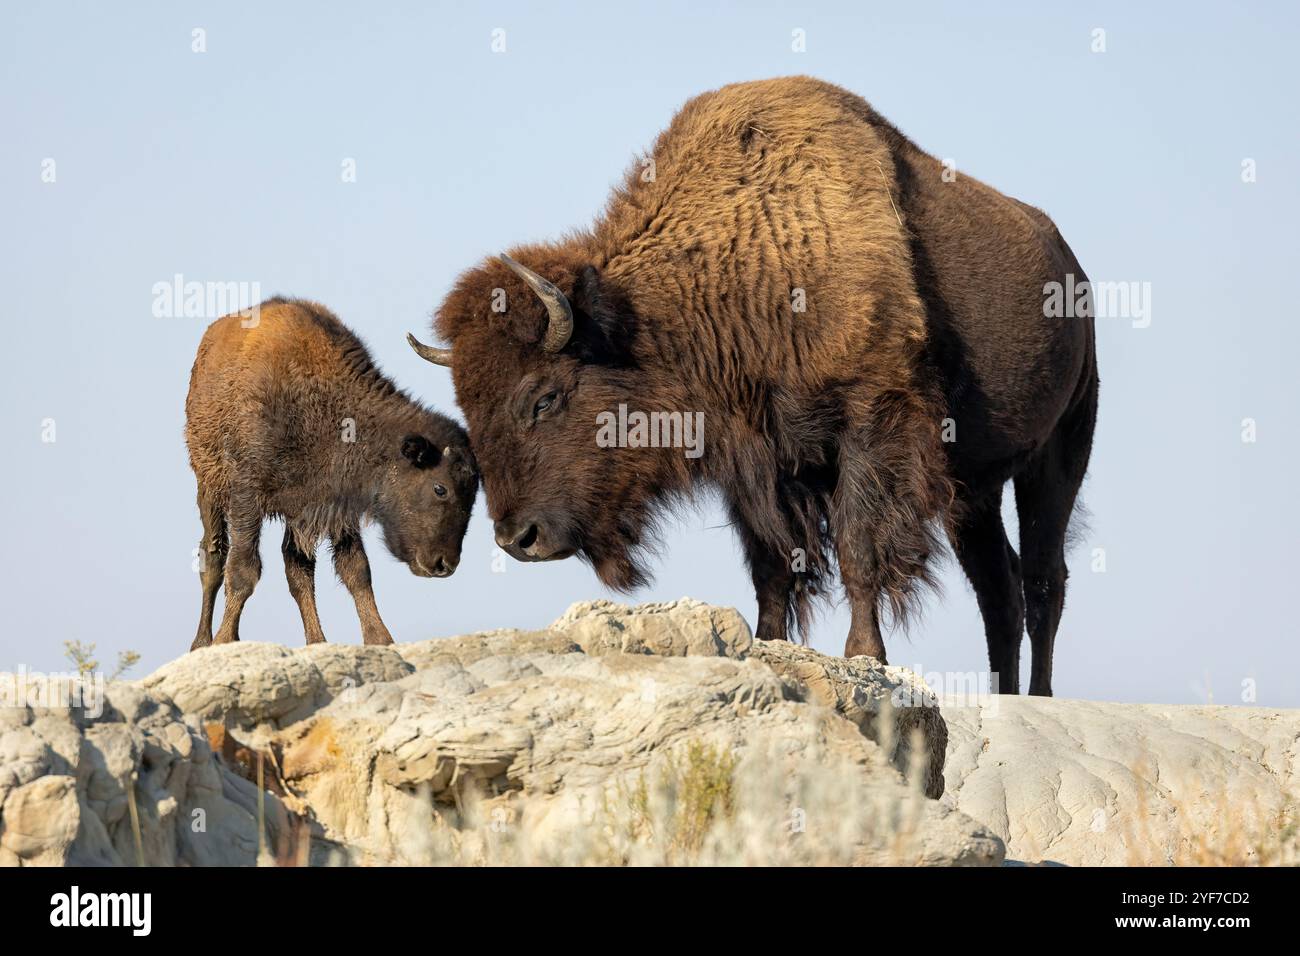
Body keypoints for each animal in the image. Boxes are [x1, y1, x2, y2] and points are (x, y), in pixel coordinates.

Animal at [186, 298, 477, 650]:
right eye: (440, 488)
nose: (443, 564)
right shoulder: (248, 496)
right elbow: (243, 570)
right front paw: (225, 640)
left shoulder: (335, 503)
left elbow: (355, 571)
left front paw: (380, 639)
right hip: (208, 487)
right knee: (213, 557)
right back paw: (201, 642)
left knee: (297, 569)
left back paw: (316, 641)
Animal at [409, 77, 1098, 695]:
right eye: (467, 407)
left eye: (544, 397)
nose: (516, 539)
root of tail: (1072, 269)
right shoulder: (751, 461)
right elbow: (771, 565)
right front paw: (767, 646)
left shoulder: (871, 427)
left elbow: (858, 550)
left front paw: (864, 655)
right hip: (971, 493)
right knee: (999, 588)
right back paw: (1003, 693)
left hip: (1058, 454)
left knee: (1044, 579)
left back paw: (1038, 697)